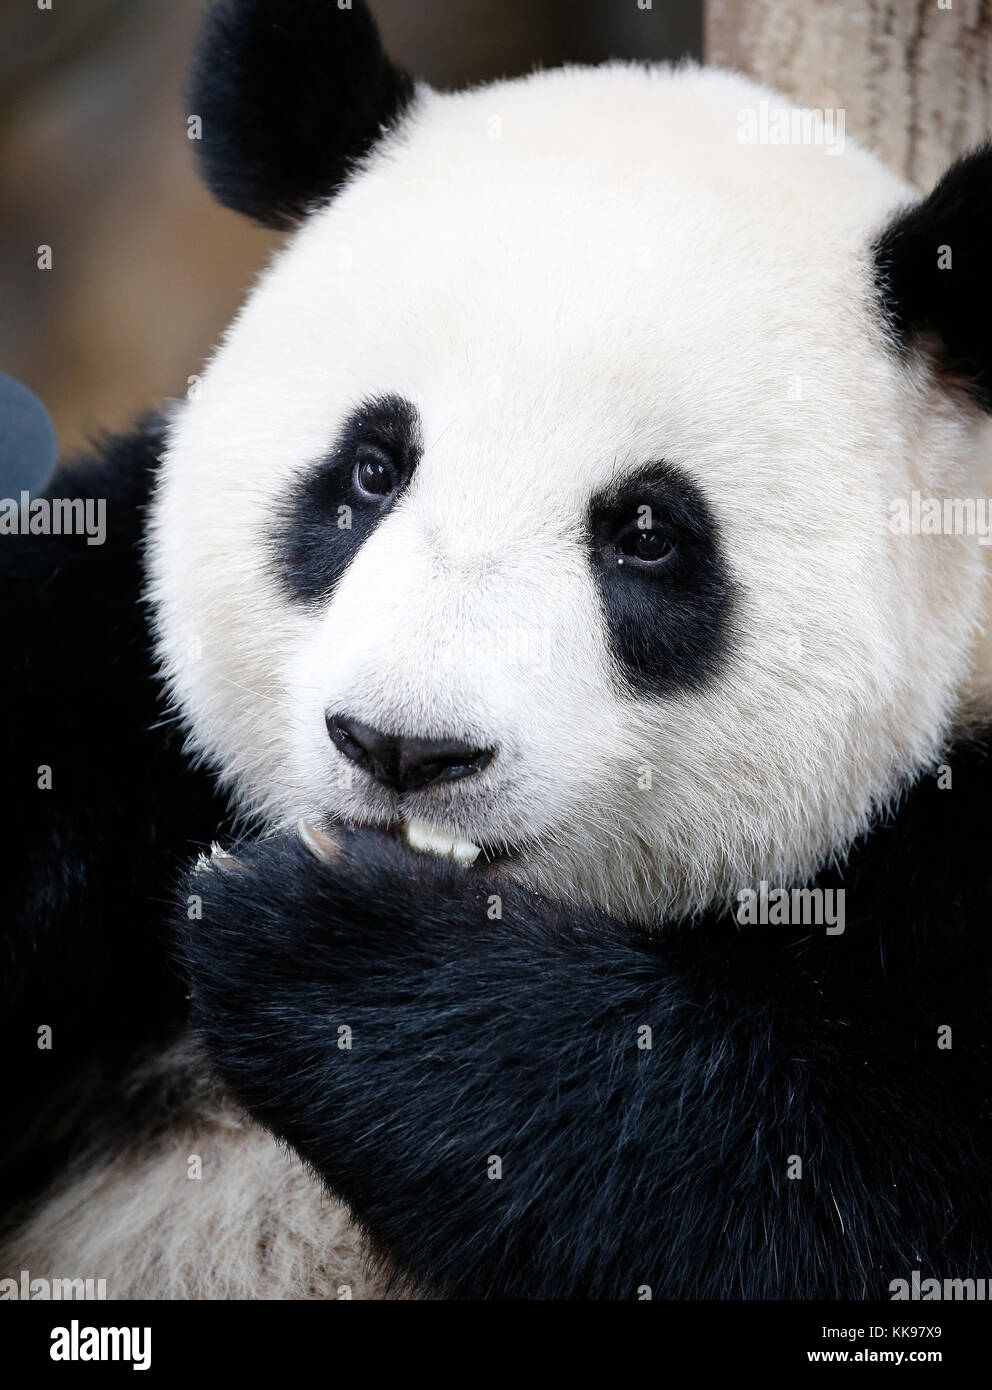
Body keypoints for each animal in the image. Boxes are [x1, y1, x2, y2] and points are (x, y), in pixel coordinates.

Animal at [3, 0, 992, 1302]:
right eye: (371, 470)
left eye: (645, 533)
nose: (401, 748)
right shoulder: (93, 666)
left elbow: (822, 1191)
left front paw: (332, 948)